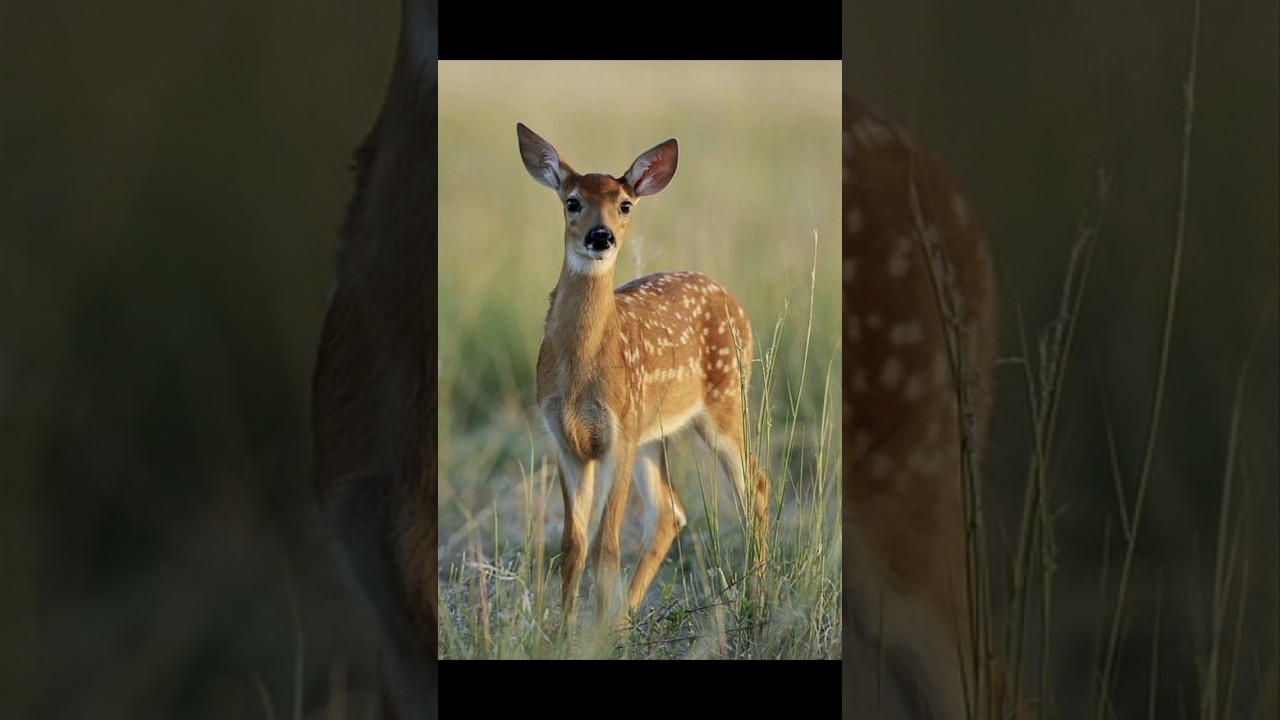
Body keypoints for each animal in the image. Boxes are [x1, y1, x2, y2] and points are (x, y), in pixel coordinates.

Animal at [516, 123, 771, 635]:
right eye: (572, 201)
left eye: (625, 205)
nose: (601, 236)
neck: (580, 370)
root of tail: (732, 298)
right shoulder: (565, 440)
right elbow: (572, 544)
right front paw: (564, 632)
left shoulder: (618, 434)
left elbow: (606, 544)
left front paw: (589, 636)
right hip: (654, 432)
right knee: (670, 514)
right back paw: (624, 620)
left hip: (724, 403)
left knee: (754, 486)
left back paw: (758, 604)